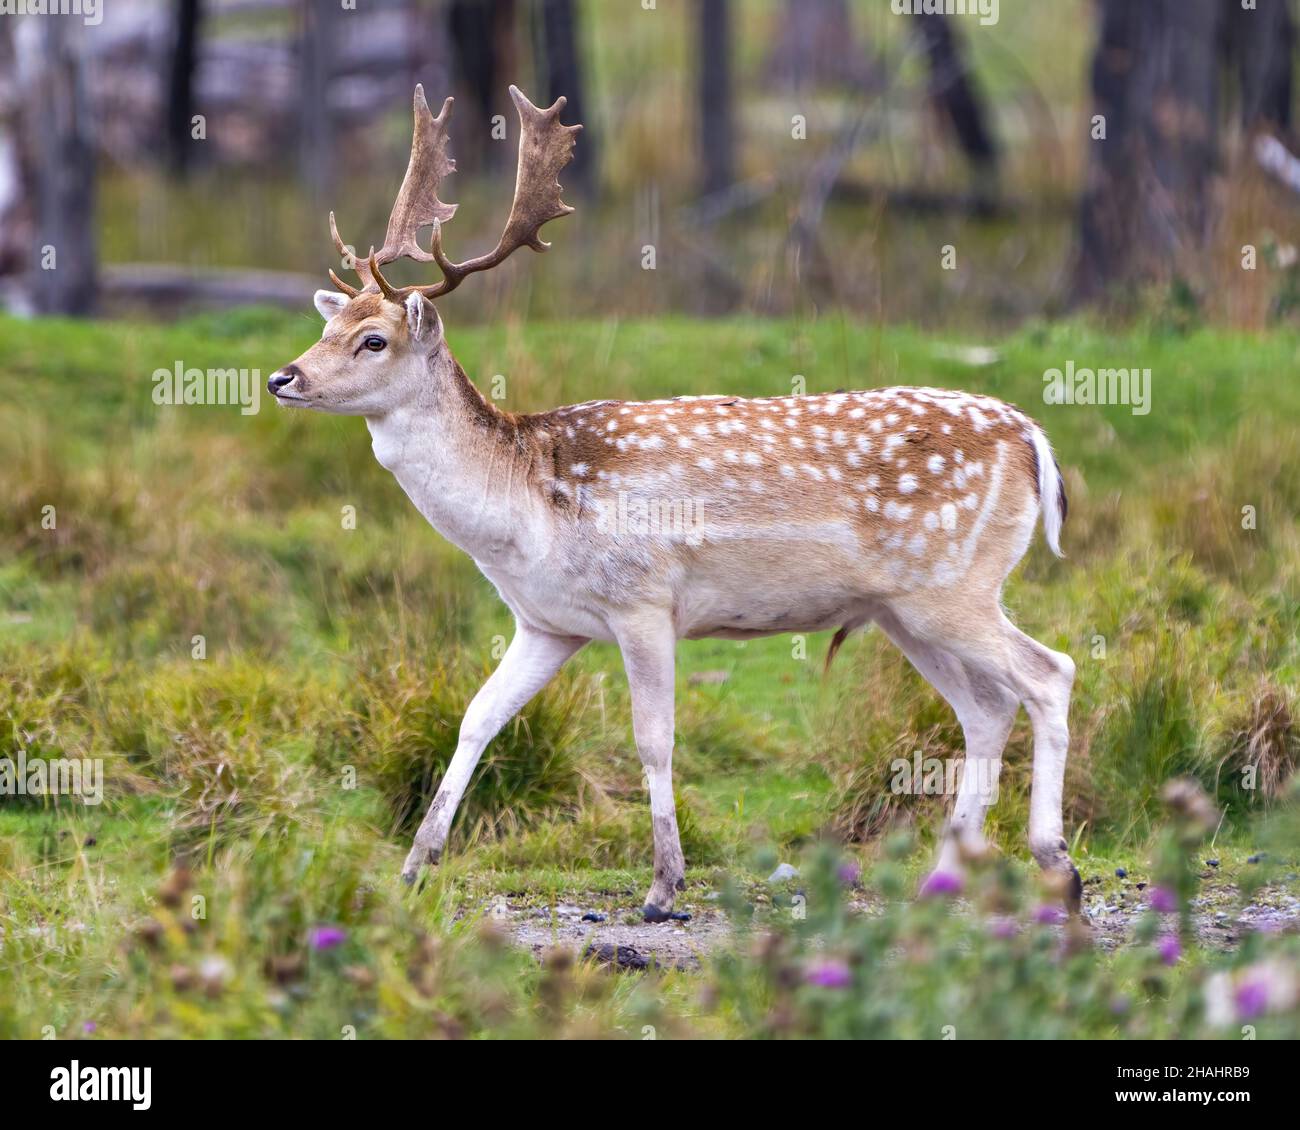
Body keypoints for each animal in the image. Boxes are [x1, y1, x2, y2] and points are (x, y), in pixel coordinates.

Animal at [267, 85, 1082, 923]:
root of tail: (1034, 440)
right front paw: (414, 866)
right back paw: (939, 882)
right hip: (901, 609)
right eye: (328, 324)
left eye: (373, 339)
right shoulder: (547, 623)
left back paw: (1057, 866)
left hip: (954, 585)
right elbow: (476, 717)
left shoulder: (644, 599)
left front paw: (663, 886)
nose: (282, 378)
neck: (527, 511)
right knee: (987, 707)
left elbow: (652, 738)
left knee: (1050, 672)